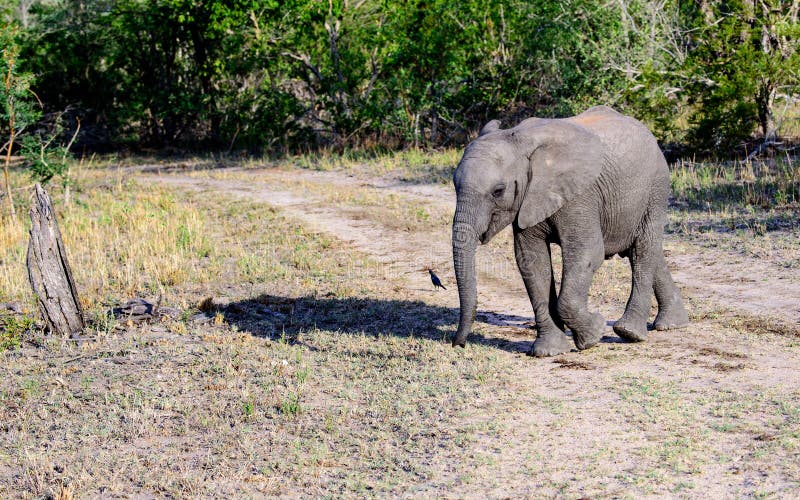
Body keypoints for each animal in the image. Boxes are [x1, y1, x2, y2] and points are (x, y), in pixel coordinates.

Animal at [451, 106, 689, 357]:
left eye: (498, 190)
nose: (458, 344)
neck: (521, 141)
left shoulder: (579, 195)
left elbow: (588, 251)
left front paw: (593, 334)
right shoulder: (528, 199)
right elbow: (531, 261)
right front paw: (549, 352)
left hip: (656, 186)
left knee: (643, 248)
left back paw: (630, 332)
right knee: (642, 251)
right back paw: (672, 323)